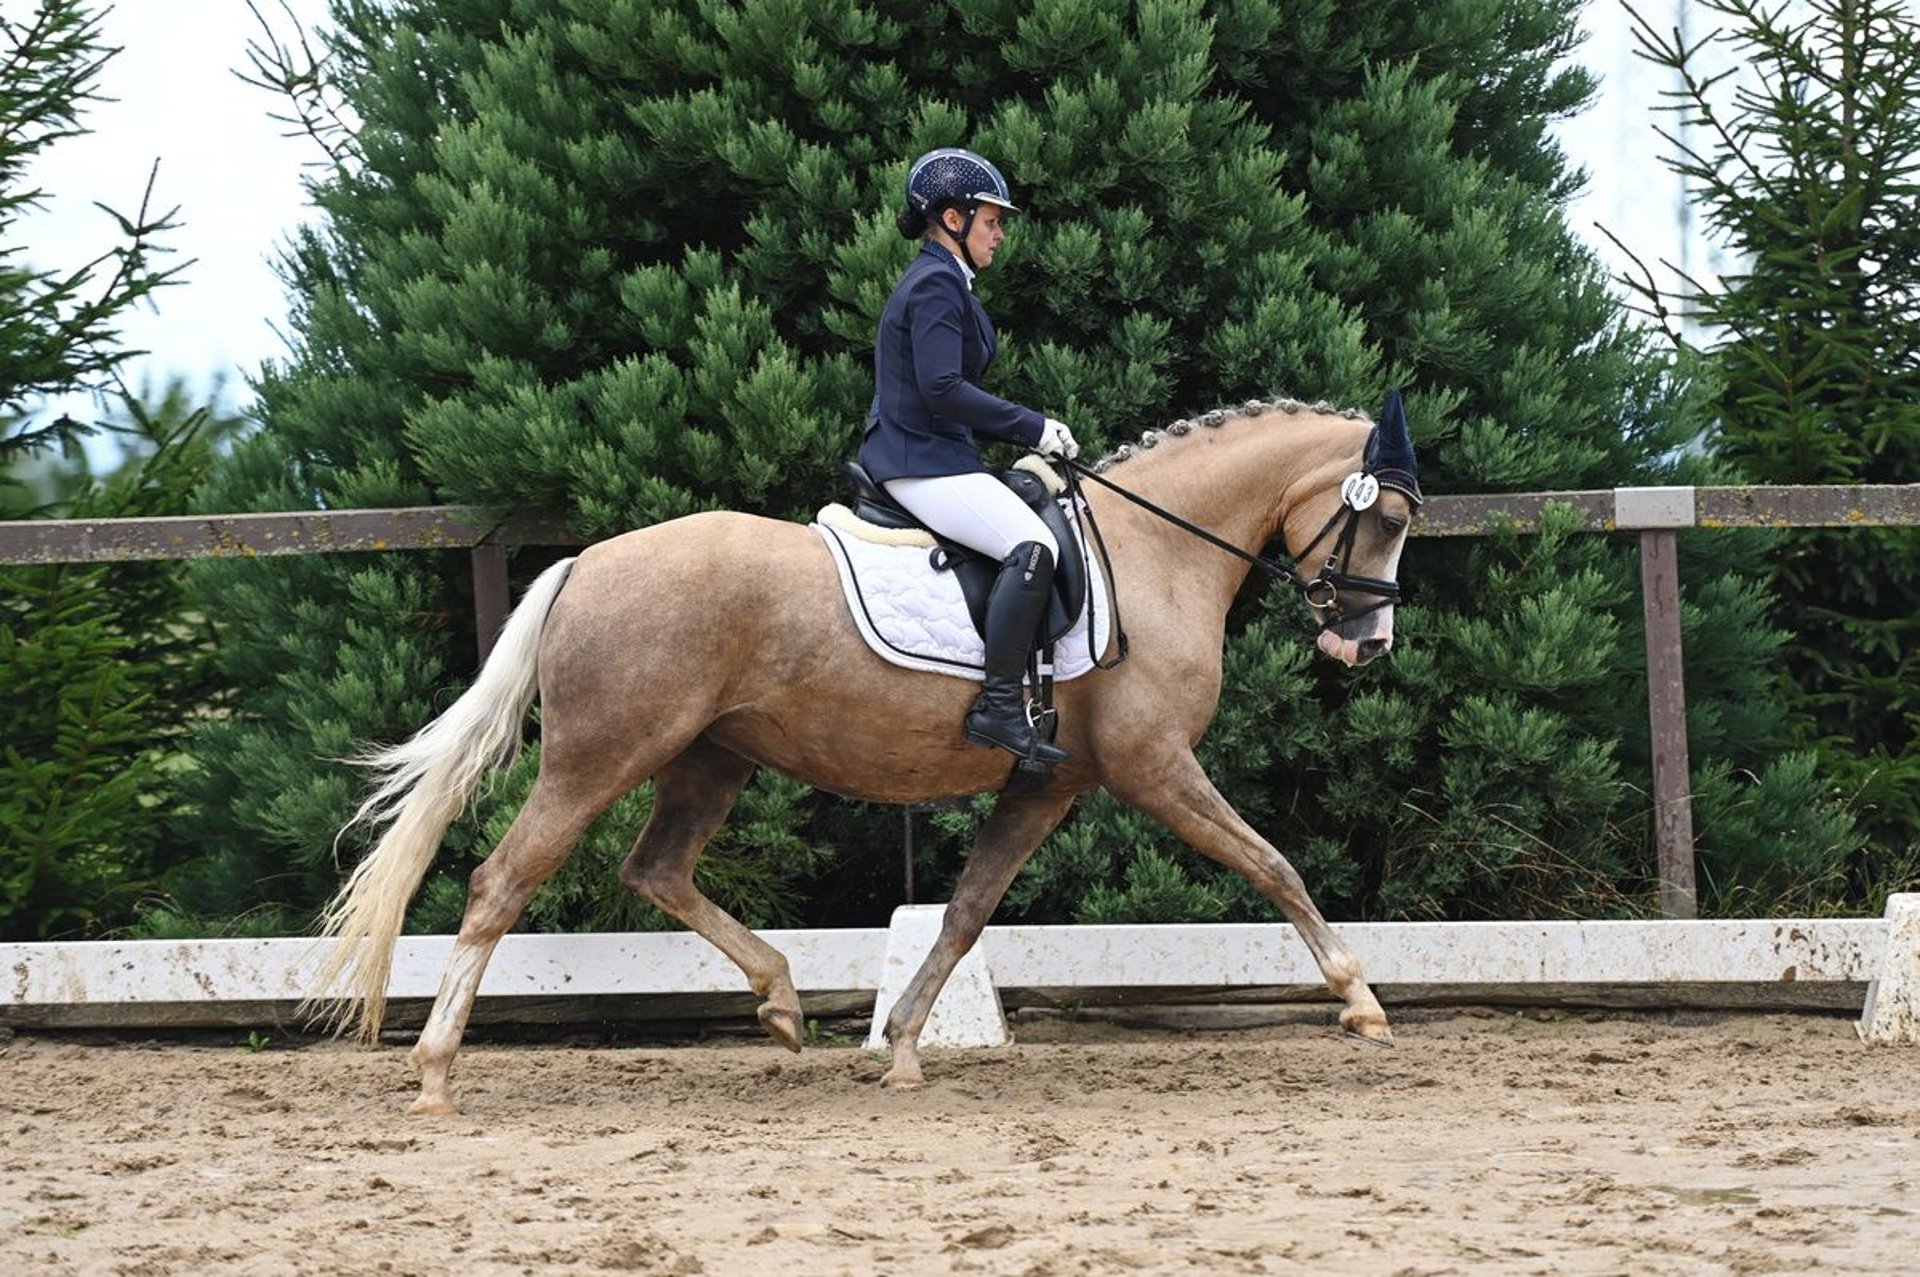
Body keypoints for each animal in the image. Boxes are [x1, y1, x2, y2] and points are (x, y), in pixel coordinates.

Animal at [309, 394, 1421, 1115]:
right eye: (1389, 518)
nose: (1367, 646)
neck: (1153, 555)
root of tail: (586, 561)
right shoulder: (1153, 767)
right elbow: (1272, 864)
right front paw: (1362, 1001)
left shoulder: (1048, 784)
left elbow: (967, 912)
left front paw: (902, 1046)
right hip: (600, 758)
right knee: (503, 880)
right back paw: (437, 1069)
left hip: (709, 759)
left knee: (655, 868)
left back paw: (781, 1000)